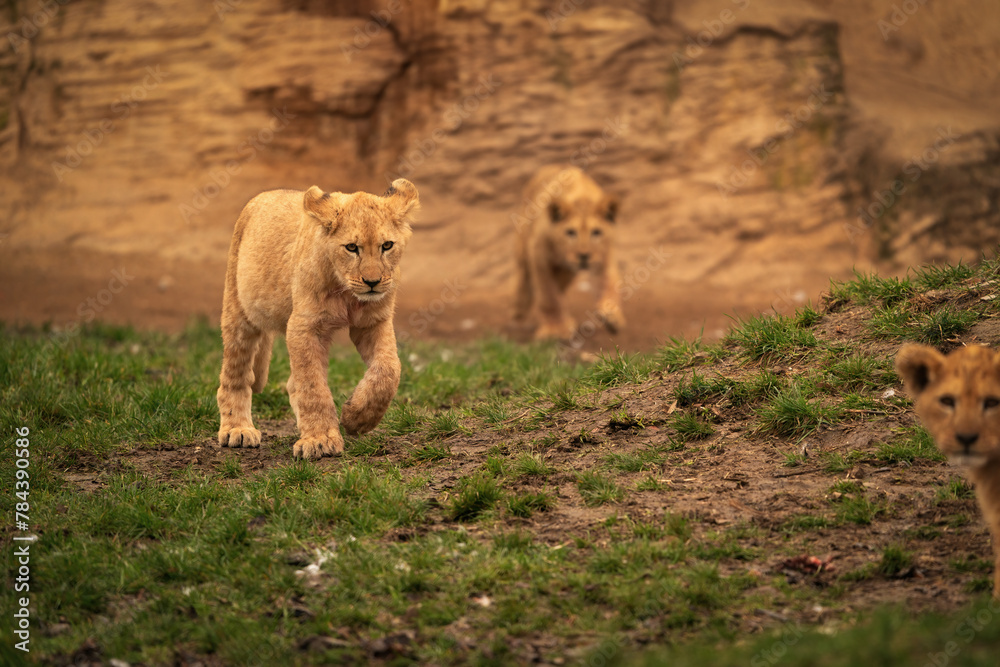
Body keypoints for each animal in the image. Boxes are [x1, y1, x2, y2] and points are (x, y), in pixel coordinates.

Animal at [216, 179, 418, 460]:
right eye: (352, 247)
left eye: (387, 246)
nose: (373, 282)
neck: (347, 294)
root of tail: (263, 195)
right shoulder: (304, 326)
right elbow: (313, 386)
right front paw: (320, 439)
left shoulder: (373, 322)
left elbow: (388, 370)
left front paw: (356, 418)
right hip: (239, 312)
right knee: (235, 374)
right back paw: (238, 429)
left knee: (292, 384)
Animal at [512, 165, 624, 341]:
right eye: (570, 232)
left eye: (596, 232)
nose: (584, 255)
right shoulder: (539, 256)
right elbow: (549, 297)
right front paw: (554, 330)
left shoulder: (604, 256)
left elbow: (609, 282)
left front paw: (611, 315)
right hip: (523, 244)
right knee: (523, 275)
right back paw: (519, 309)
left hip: (567, 272)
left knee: (559, 288)